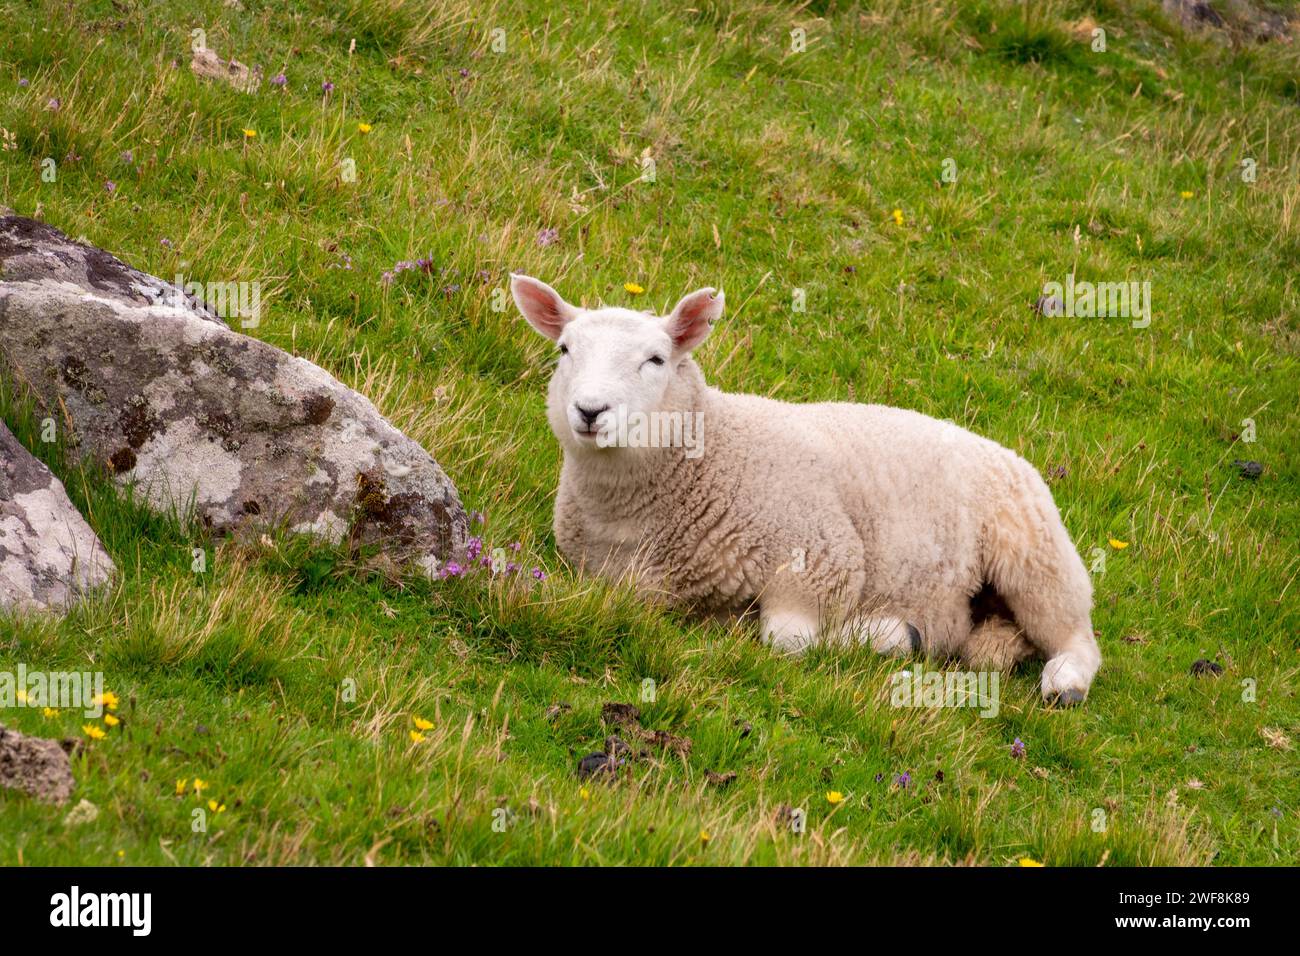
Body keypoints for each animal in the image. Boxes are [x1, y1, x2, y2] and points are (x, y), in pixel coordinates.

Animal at [511, 274, 1102, 704]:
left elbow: (789, 642)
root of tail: (1007, 452)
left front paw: (883, 638)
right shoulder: (605, 580)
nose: (590, 411)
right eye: (564, 349)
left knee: (1078, 636)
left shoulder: (823, 558)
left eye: (655, 359)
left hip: (1036, 556)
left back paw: (1063, 682)